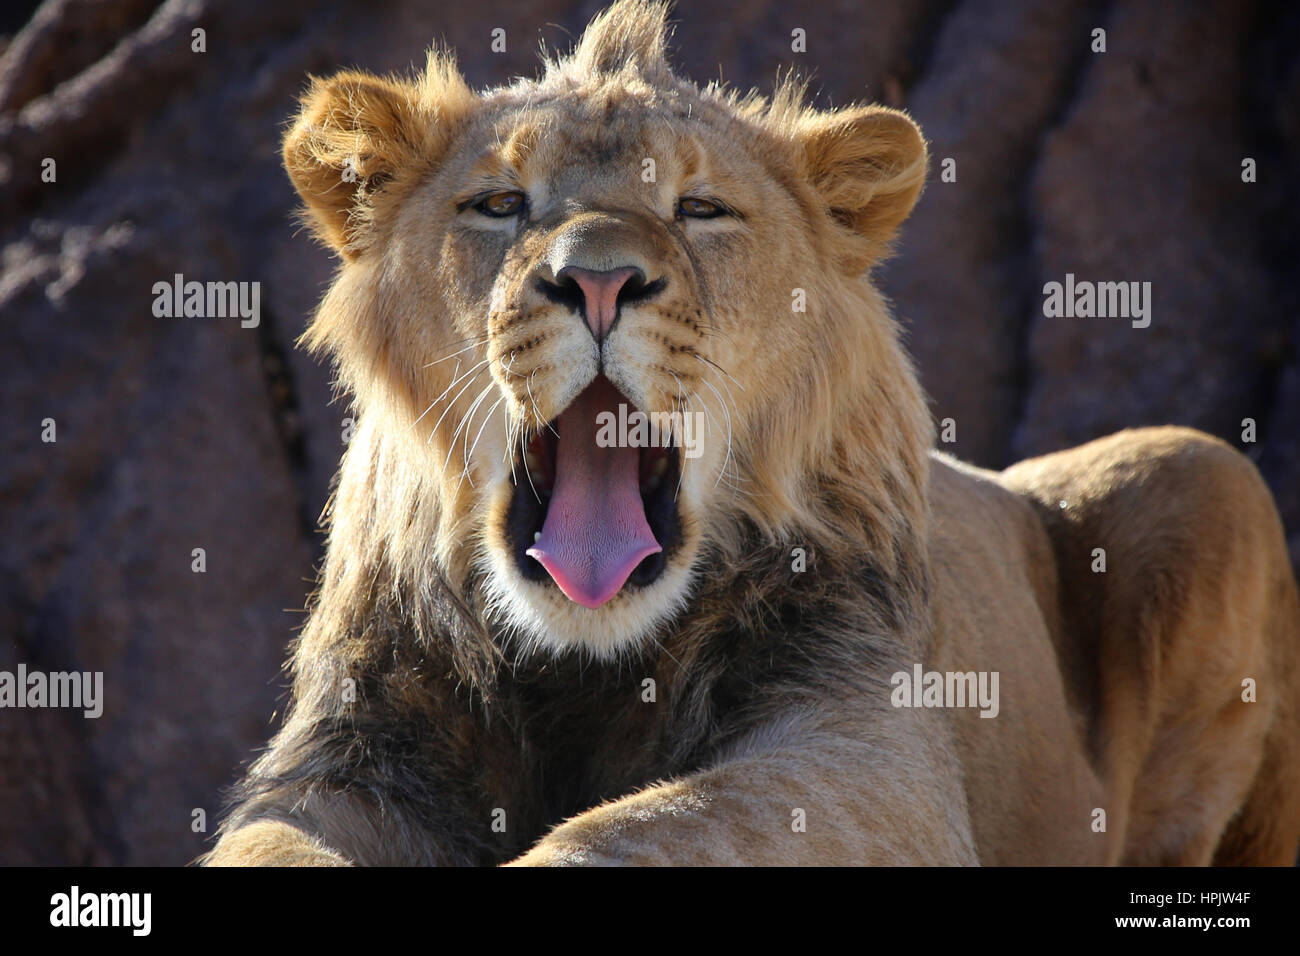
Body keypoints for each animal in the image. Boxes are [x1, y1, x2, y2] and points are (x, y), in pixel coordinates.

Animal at [204, 0, 1300, 866]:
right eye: (500, 203)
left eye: (700, 208)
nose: (596, 279)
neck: (580, 666)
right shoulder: (350, 760)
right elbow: (272, 846)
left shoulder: (860, 735)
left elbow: (641, 829)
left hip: (1197, 470)